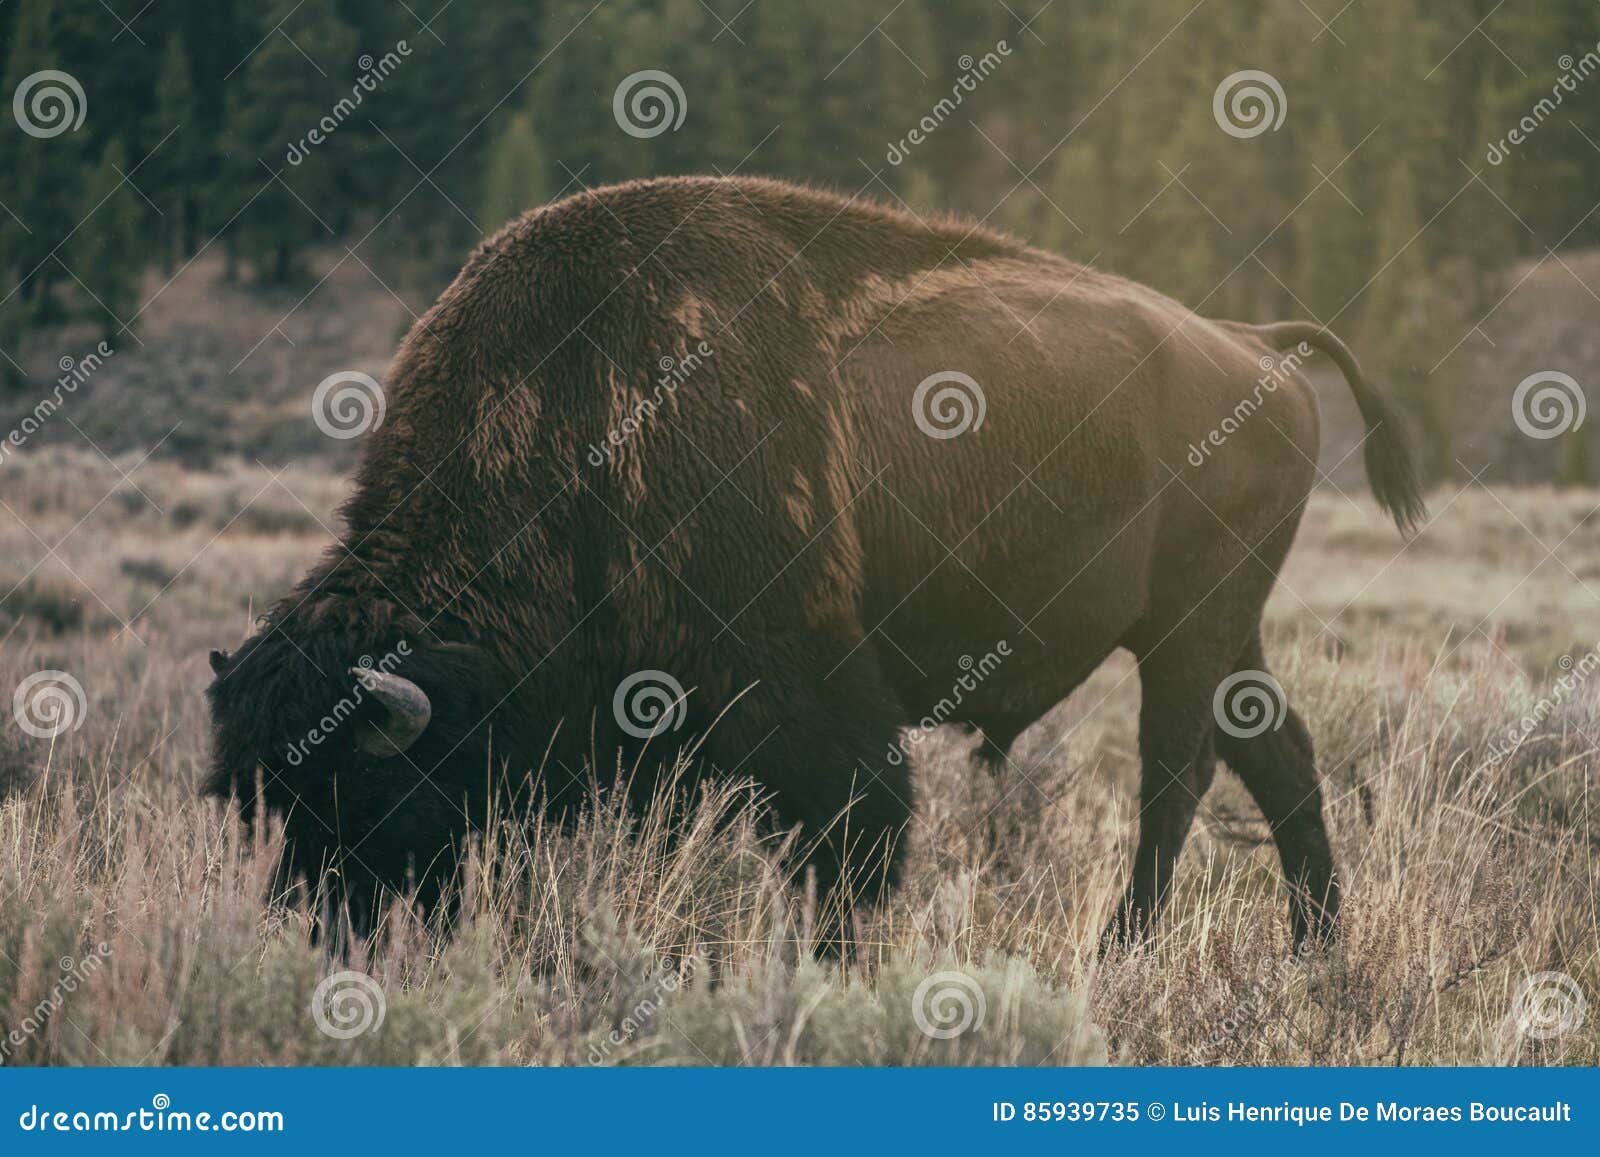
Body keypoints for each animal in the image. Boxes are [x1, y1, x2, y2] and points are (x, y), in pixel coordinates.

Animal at [207, 175, 1423, 947]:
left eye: (367, 787)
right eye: (265, 799)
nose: (313, 930)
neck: (579, 424)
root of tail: (1253, 344)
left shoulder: (812, 703)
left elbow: (852, 838)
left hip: (1189, 629)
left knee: (1176, 776)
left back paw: (1124, 948)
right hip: (1220, 634)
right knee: (1277, 756)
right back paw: (1315, 945)